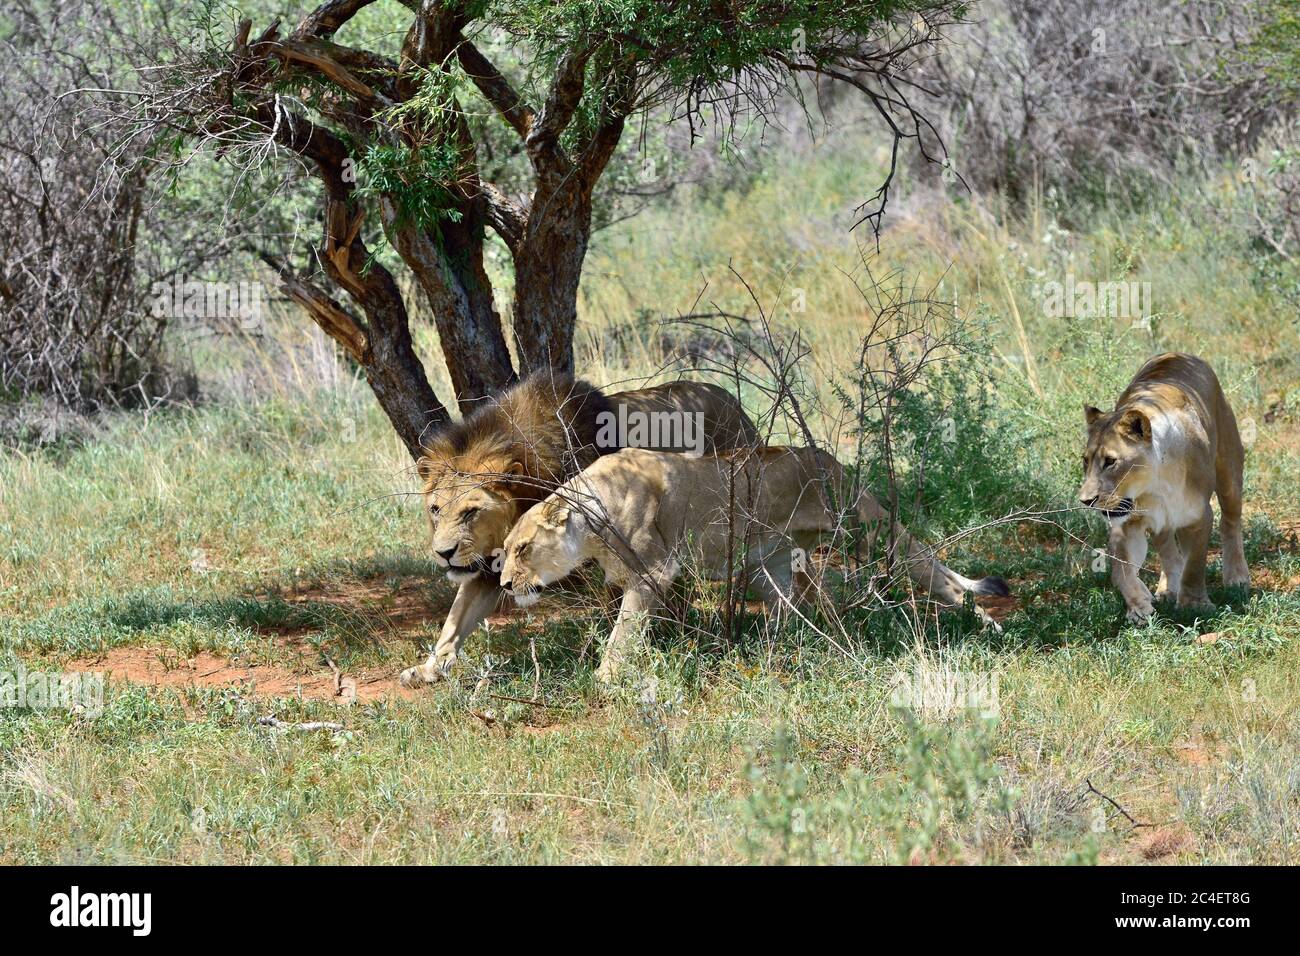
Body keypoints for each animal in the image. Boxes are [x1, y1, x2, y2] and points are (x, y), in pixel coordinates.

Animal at [398, 370, 759, 687]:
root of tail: (730, 399)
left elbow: (622, 607)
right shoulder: (488, 565)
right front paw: (430, 669)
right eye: (435, 510)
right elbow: (455, 619)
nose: (444, 553)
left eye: (471, 512)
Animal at [499, 446, 1010, 683]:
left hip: (870, 526)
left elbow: (623, 632)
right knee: (789, 610)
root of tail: (827, 457)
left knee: (940, 575)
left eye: (523, 549)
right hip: (767, 564)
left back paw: (992, 630)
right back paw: (773, 652)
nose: (503, 584)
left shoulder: (653, 573)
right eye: (504, 549)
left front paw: (603, 678)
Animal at [1078, 352, 1248, 623]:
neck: (1153, 487)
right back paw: (1168, 588)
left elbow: (1194, 565)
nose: (1085, 500)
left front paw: (1194, 605)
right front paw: (1138, 605)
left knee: (1230, 522)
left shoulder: (1199, 516)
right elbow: (1120, 570)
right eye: (1086, 460)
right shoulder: (1127, 523)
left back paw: (1237, 578)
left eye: (1111, 462)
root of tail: (1179, 354)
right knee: (1167, 547)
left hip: (1229, 470)